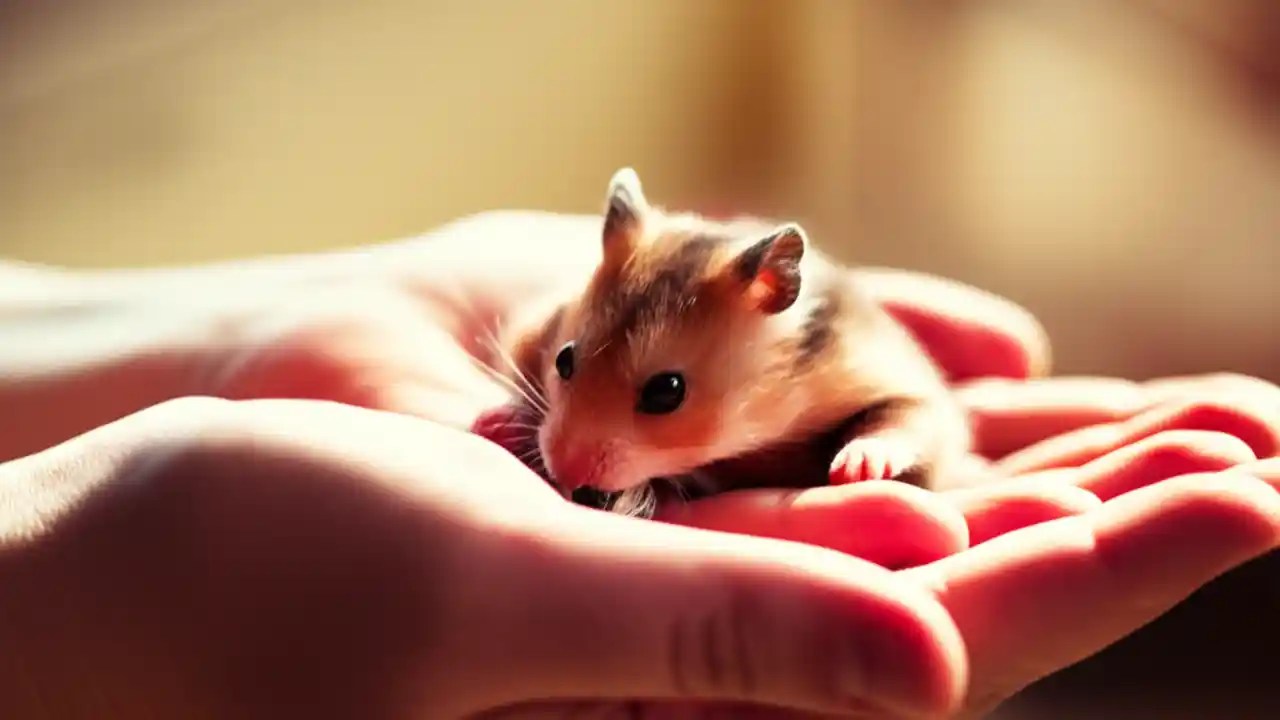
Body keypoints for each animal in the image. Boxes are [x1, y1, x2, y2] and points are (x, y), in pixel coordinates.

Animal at [478, 168, 971, 517]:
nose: (563, 471)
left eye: (668, 391)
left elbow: (900, 421)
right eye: (563, 360)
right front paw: (493, 421)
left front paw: (850, 470)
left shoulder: (902, 387)